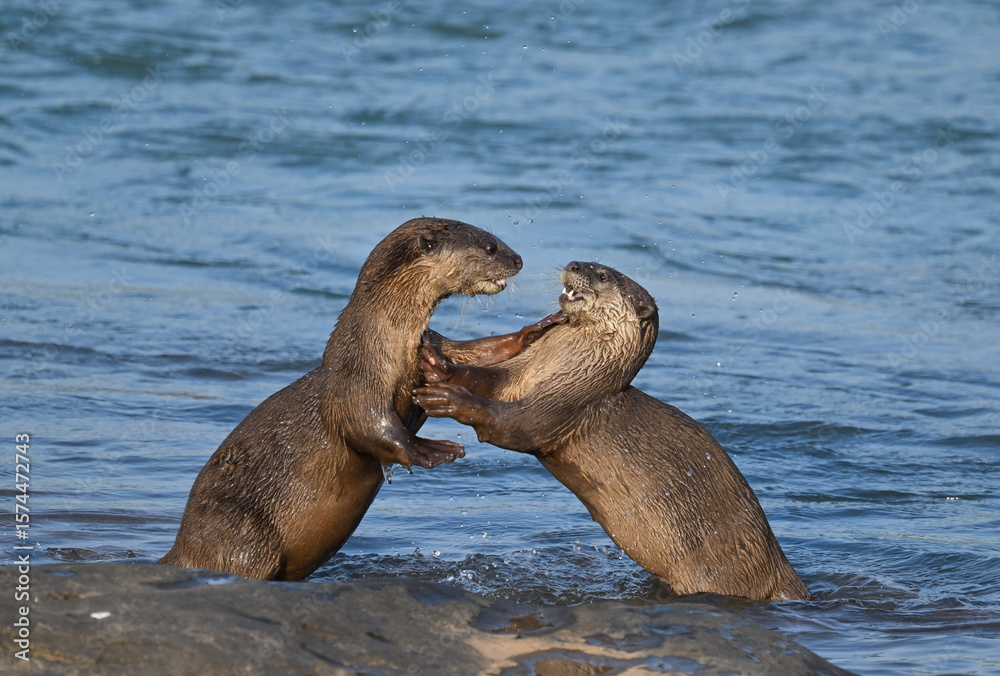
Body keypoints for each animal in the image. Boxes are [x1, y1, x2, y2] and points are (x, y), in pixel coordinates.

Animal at [159, 218, 546, 581]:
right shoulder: (357, 378)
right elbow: (370, 424)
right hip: (242, 532)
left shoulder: (433, 342)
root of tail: (181, 547)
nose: (519, 259)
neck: (382, 339)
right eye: (490, 247)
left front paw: (533, 332)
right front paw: (434, 450)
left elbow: (476, 353)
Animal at [413, 261, 810, 601]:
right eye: (586, 263)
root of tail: (780, 568)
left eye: (602, 275)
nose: (573, 263)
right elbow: (487, 379)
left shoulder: (564, 406)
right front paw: (440, 368)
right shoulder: (517, 375)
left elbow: (512, 426)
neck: (579, 372)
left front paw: (449, 399)